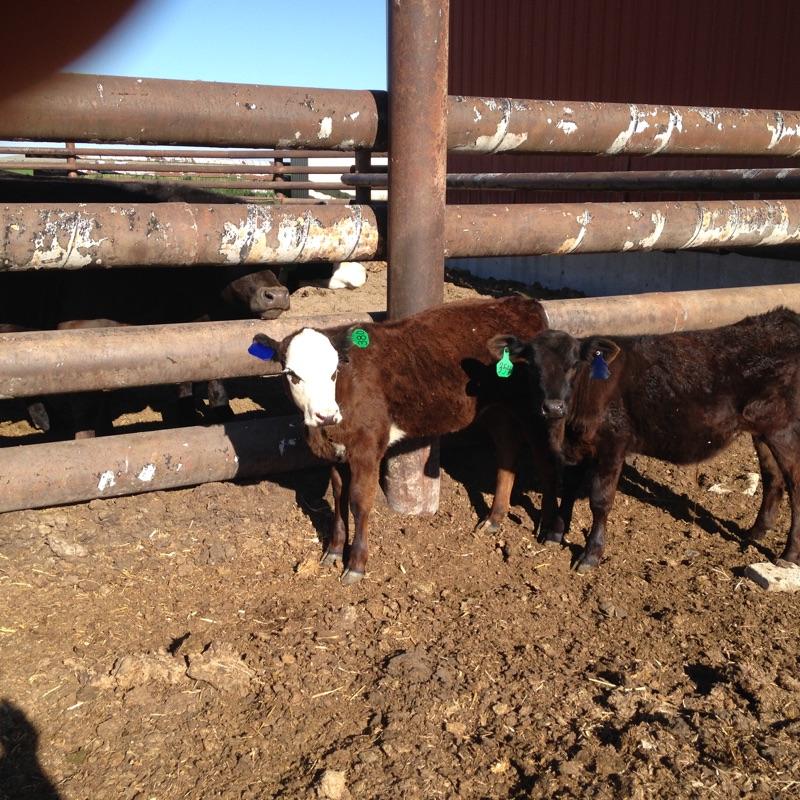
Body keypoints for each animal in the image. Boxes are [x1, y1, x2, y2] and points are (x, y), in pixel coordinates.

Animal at [252, 295, 554, 584]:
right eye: (292, 375)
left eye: (334, 372)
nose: (325, 415)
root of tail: (521, 302)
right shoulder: (335, 451)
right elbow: (338, 495)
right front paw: (334, 551)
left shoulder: (367, 445)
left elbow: (359, 500)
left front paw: (356, 565)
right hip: (497, 409)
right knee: (507, 449)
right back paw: (493, 519)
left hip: (535, 411)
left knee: (544, 459)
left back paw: (548, 530)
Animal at [487, 307, 800, 572]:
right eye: (532, 366)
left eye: (574, 365)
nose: (553, 407)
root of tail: (783, 318)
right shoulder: (578, 448)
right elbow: (569, 489)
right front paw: (554, 533)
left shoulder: (614, 445)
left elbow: (600, 500)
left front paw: (590, 555)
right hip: (762, 430)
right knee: (773, 477)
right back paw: (756, 532)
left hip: (784, 431)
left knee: (795, 484)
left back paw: (789, 554)